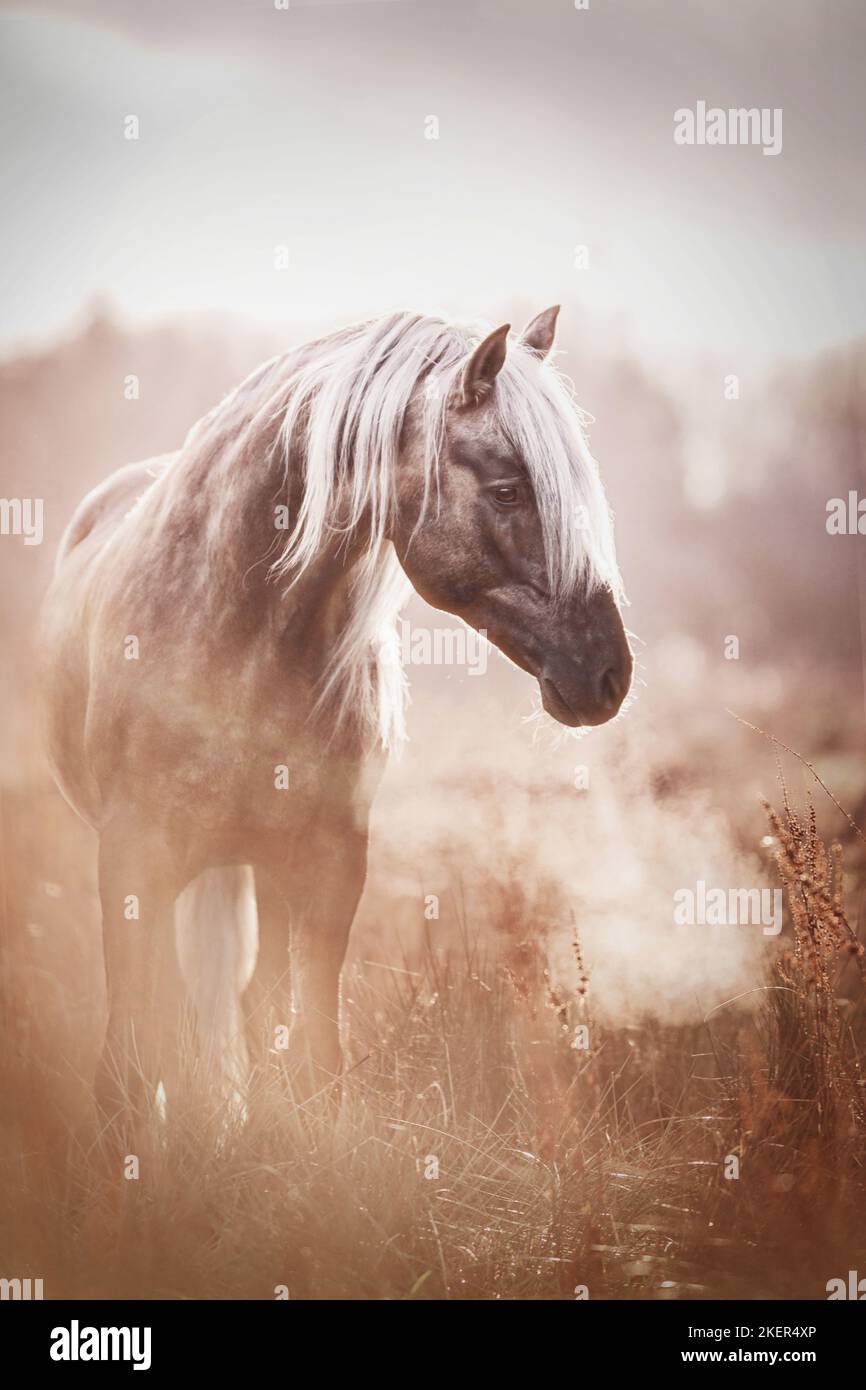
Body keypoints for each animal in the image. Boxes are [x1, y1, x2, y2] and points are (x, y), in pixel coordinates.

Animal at [39, 305, 632, 1130]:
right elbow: (128, 1058)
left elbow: (316, 1050)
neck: (237, 630)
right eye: (511, 489)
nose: (610, 674)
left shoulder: (330, 861)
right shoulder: (133, 859)